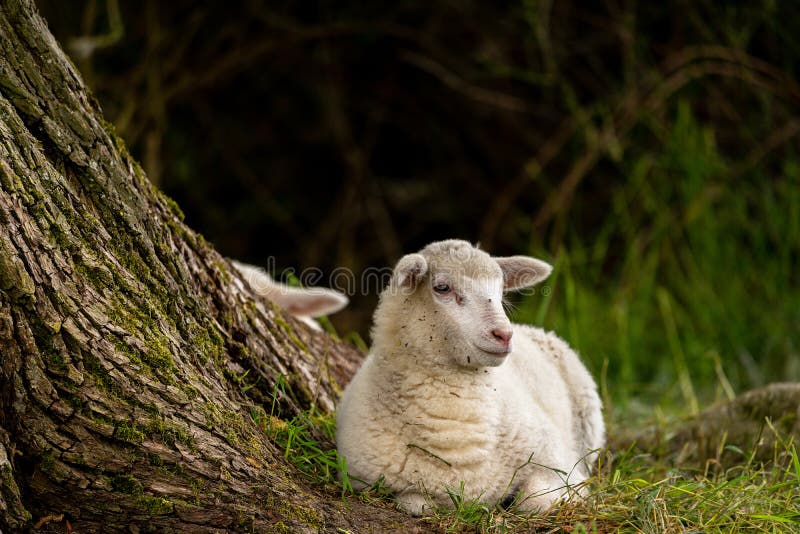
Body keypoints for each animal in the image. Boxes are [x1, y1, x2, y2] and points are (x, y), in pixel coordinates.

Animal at [335, 239, 604, 516]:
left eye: (500, 290)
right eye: (442, 287)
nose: (504, 335)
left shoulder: (556, 461)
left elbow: (534, 500)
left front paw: (575, 495)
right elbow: (415, 503)